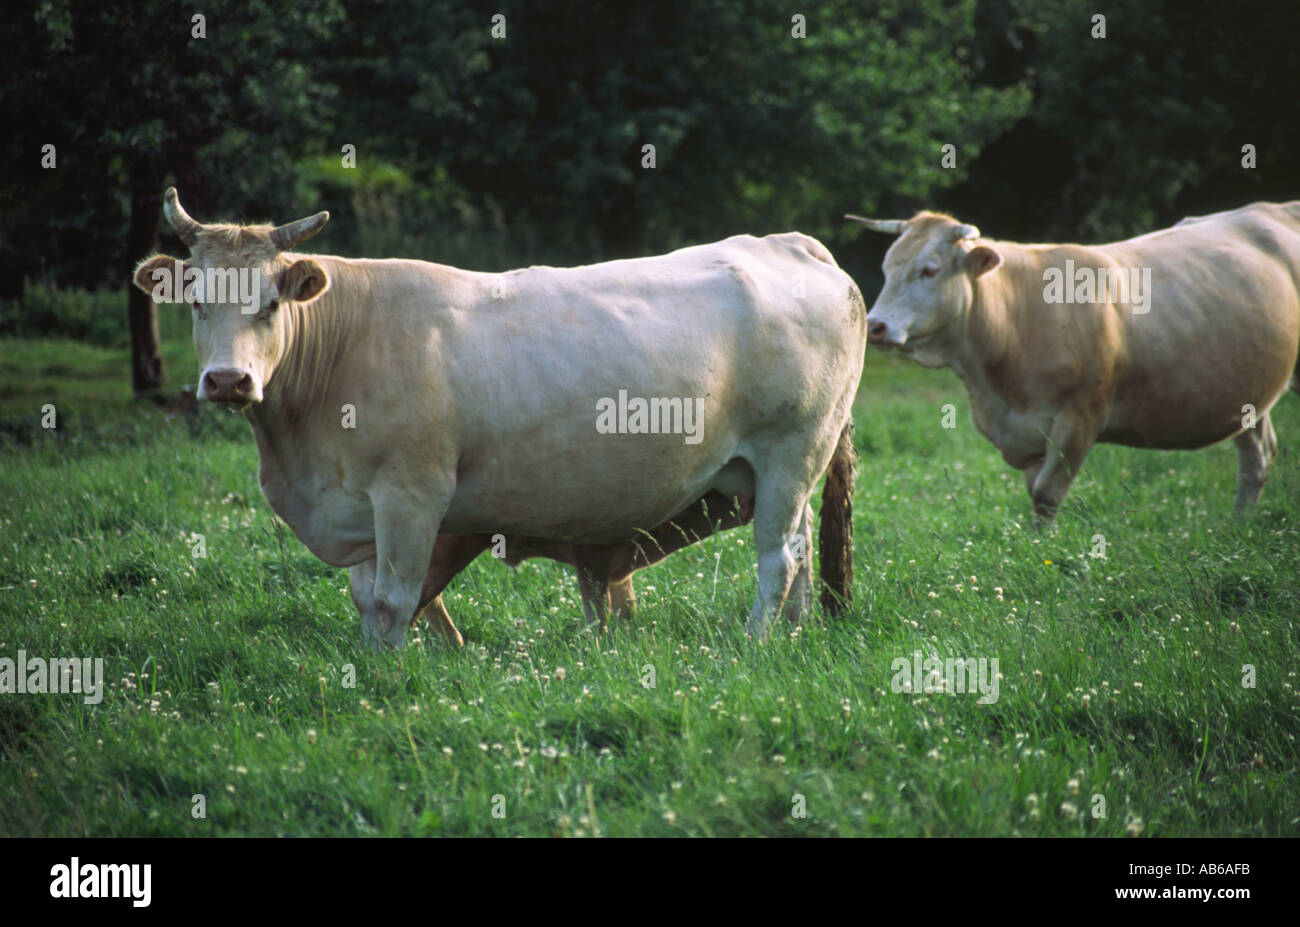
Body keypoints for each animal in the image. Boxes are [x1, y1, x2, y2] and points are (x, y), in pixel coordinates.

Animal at [134, 188, 865, 649]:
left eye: (269, 303)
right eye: (196, 300)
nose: (228, 380)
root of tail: (789, 243)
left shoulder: (411, 494)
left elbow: (395, 599)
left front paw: (386, 680)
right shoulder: (359, 512)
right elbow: (368, 601)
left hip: (791, 450)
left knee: (779, 557)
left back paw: (755, 643)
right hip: (783, 472)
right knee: (800, 552)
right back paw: (793, 637)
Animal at [847, 203, 1300, 520]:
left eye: (929, 270)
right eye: (887, 268)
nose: (876, 326)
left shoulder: (1080, 419)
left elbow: (1047, 495)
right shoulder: (1025, 434)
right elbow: (1034, 492)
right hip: (1248, 391)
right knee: (1256, 458)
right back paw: (1238, 525)